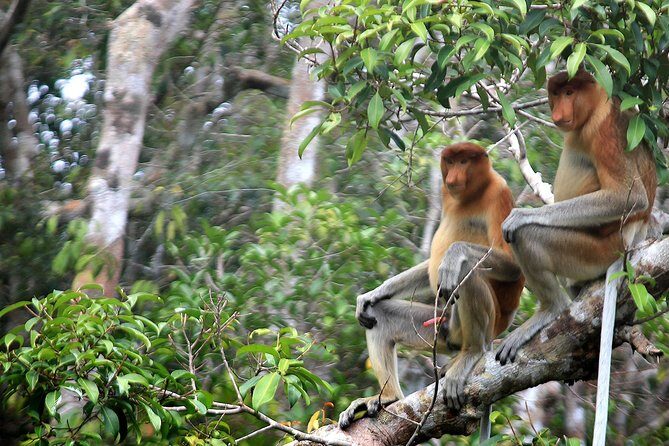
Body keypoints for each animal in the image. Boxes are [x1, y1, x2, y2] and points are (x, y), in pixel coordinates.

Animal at [338, 142, 525, 430]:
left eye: (464, 161)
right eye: (451, 161)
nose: (453, 176)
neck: (472, 194)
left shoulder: (499, 192)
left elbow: (513, 264)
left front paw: (452, 256)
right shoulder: (447, 195)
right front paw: (371, 295)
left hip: (487, 323)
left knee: (468, 272)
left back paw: (471, 352)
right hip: (440, 325)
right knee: (380, 317)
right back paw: (388, 398)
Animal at [496, 70, 657, 444]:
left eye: (570, 92)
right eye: (556, 94)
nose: (559, 110)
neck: (596, 106)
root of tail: (631, 242)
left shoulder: (604, 131)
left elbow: (628, 197)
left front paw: (520, 216)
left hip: (592, 250)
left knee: (532, 238)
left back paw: (549, 310)